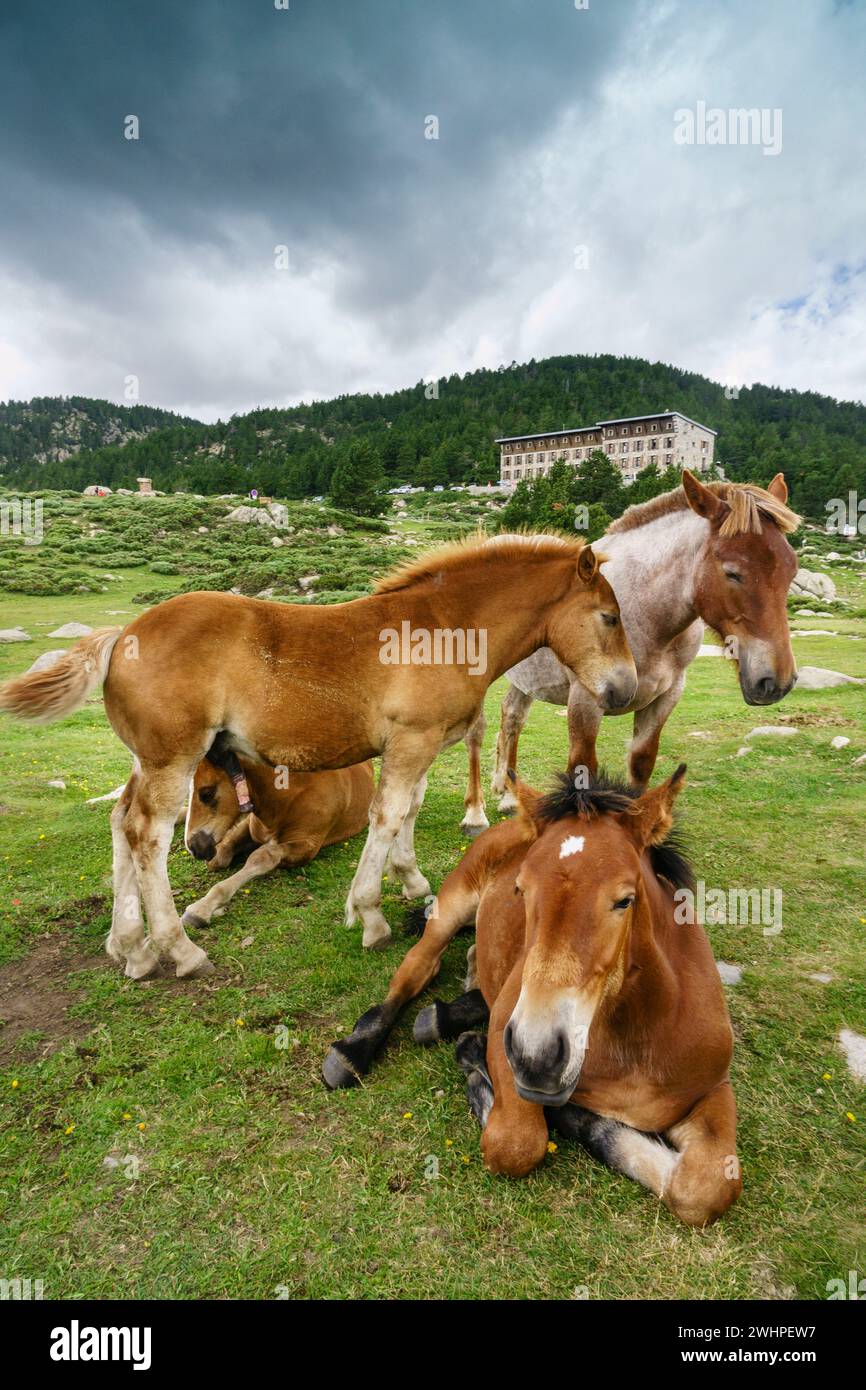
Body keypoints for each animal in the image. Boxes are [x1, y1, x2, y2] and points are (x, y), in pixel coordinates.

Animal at [179, 754, 375, 929]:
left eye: (207, 793)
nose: (195, 848)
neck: (287, 798)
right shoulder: (251, 826)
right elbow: (220, 858)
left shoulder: (308, 846)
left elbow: (262, 856)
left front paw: (200, 910)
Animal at [329, 766, 741, 1228]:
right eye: (521, 890)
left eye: (625, 900)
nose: (537, 1054)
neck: (636, 1035)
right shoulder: (507, 1036)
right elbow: (514, 1143)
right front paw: (477, 1064)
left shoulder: (714, 1088)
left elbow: (705, 1190)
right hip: (449, 912)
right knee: (416, 972)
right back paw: (356, 1050)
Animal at [460, 470, 799, 831]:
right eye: (732, 573)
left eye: (792, 570)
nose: (776, 681)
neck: (645, 615)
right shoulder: (586, 699)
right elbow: (582, 770)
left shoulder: (666, 696)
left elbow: (641, 764)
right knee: (477, 732)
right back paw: (475, 812)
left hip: (523, 681)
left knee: (512, 719)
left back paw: (509, 795)